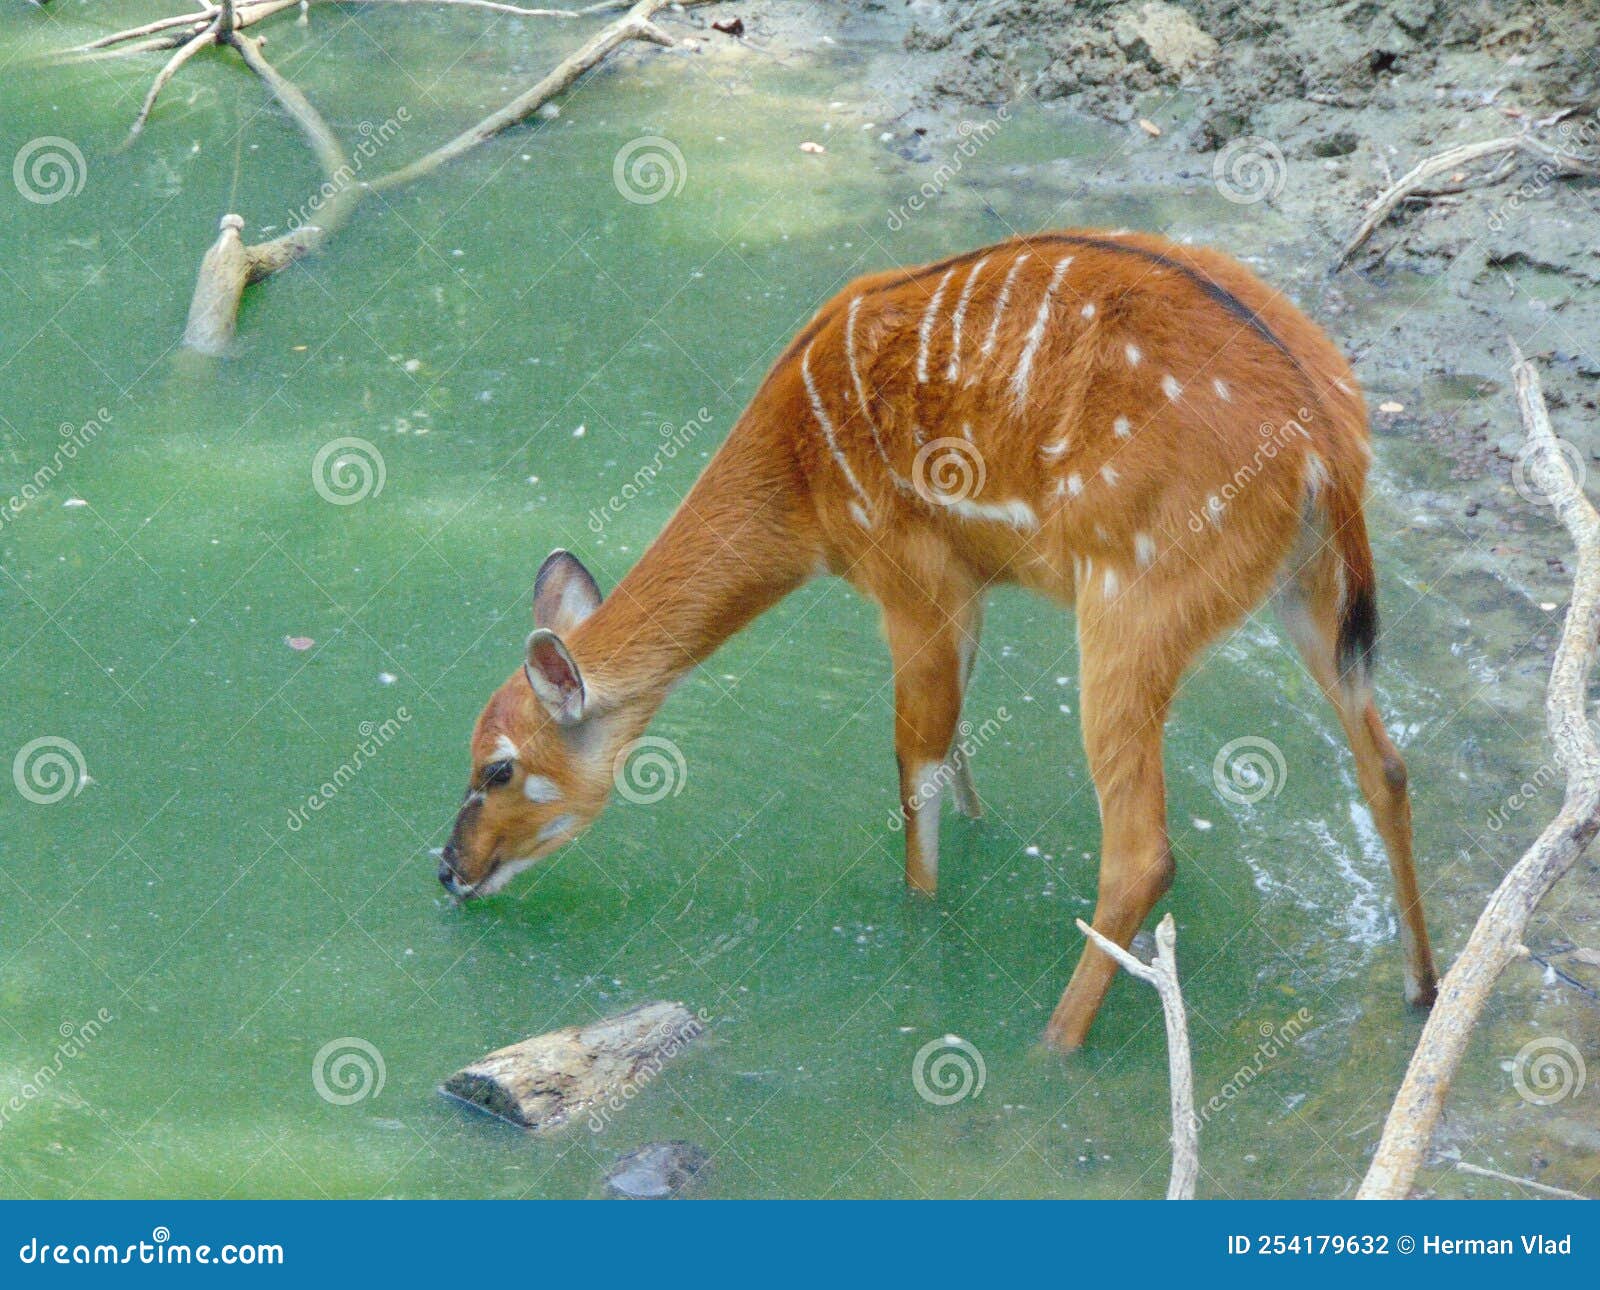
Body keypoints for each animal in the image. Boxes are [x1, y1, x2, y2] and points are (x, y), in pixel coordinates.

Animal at [437, 229, 1439, 1049]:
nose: (449, 870)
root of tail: (1326, 439)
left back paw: (1049, 1047)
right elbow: (956, 752)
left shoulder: (913, 579)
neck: (797, 476)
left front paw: (921, 929)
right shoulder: (968, 588)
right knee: (1385, 765)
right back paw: (1423, 990)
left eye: (497, 767)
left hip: (1130, 607)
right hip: (1305, 596)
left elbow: (914, 765)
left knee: (1142, 851)